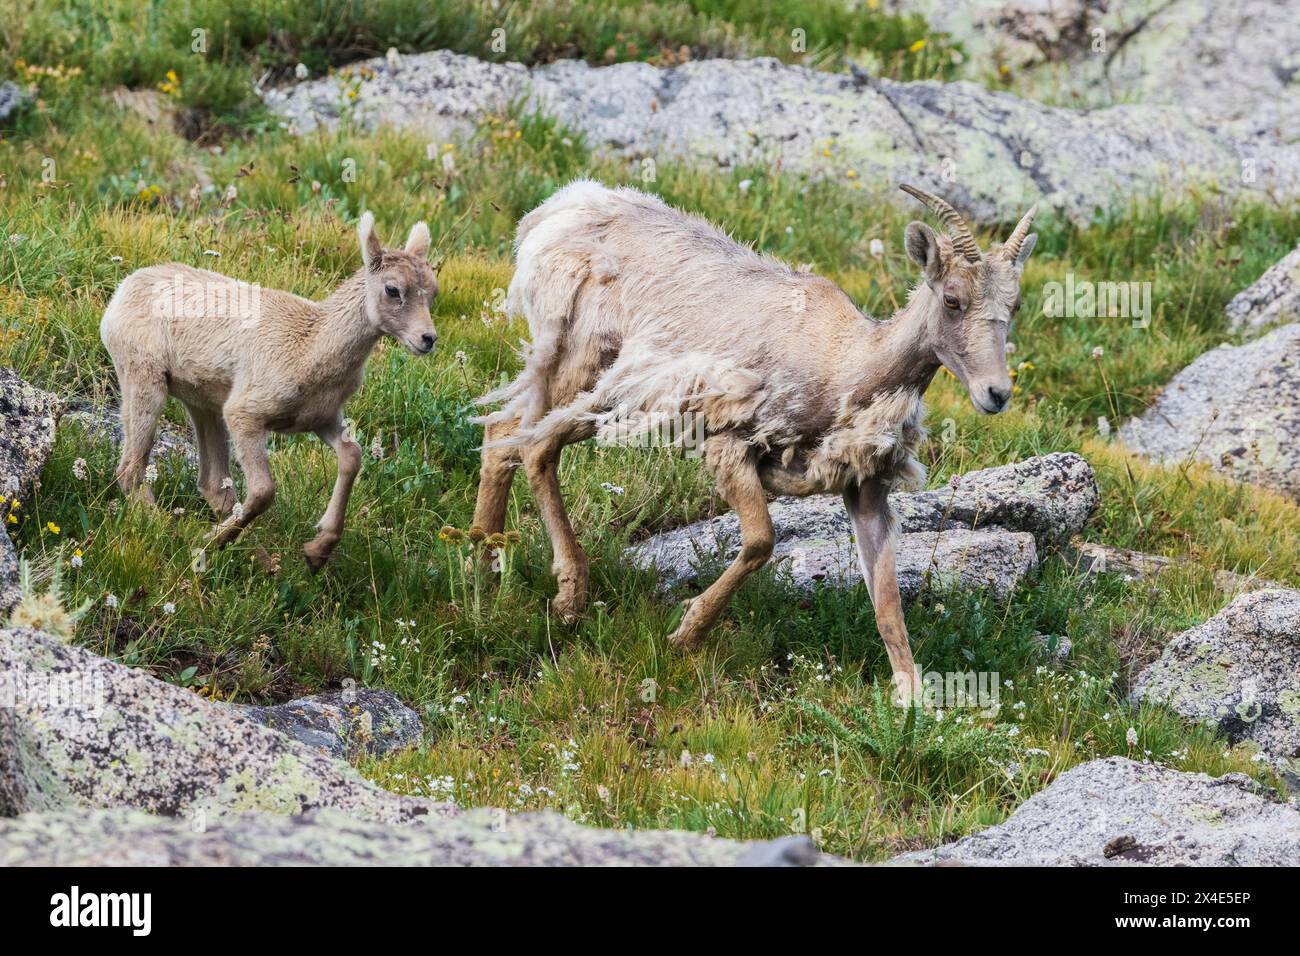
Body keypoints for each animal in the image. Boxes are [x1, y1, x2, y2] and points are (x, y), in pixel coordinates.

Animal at [100, 212, 438, 569]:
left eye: (433, 293)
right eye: (393, 289)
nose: (428, 339)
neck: (311, 345)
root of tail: (124, 290)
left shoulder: (321, 418)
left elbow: (352, 456)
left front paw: (316, 553)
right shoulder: (245, 415)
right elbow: (264, 490)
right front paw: (207, 542)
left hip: (205, 405)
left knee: (213, 484)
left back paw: (260, 560)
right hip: (144, 378)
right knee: (131, 469)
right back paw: (172, 534)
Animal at [473, 180, 1037, 703]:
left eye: (1014, 305)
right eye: (952, 299)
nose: (996, 394)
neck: (846, 362)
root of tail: (555, 213)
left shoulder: (865, 490)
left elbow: (888, 602)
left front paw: (912, 701)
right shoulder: (730, 445)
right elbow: (763, 540)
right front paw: (685, 632)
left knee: (506, 435)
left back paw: (485, 560)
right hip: (588, 371)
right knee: (534, 445)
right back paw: (567, 598)